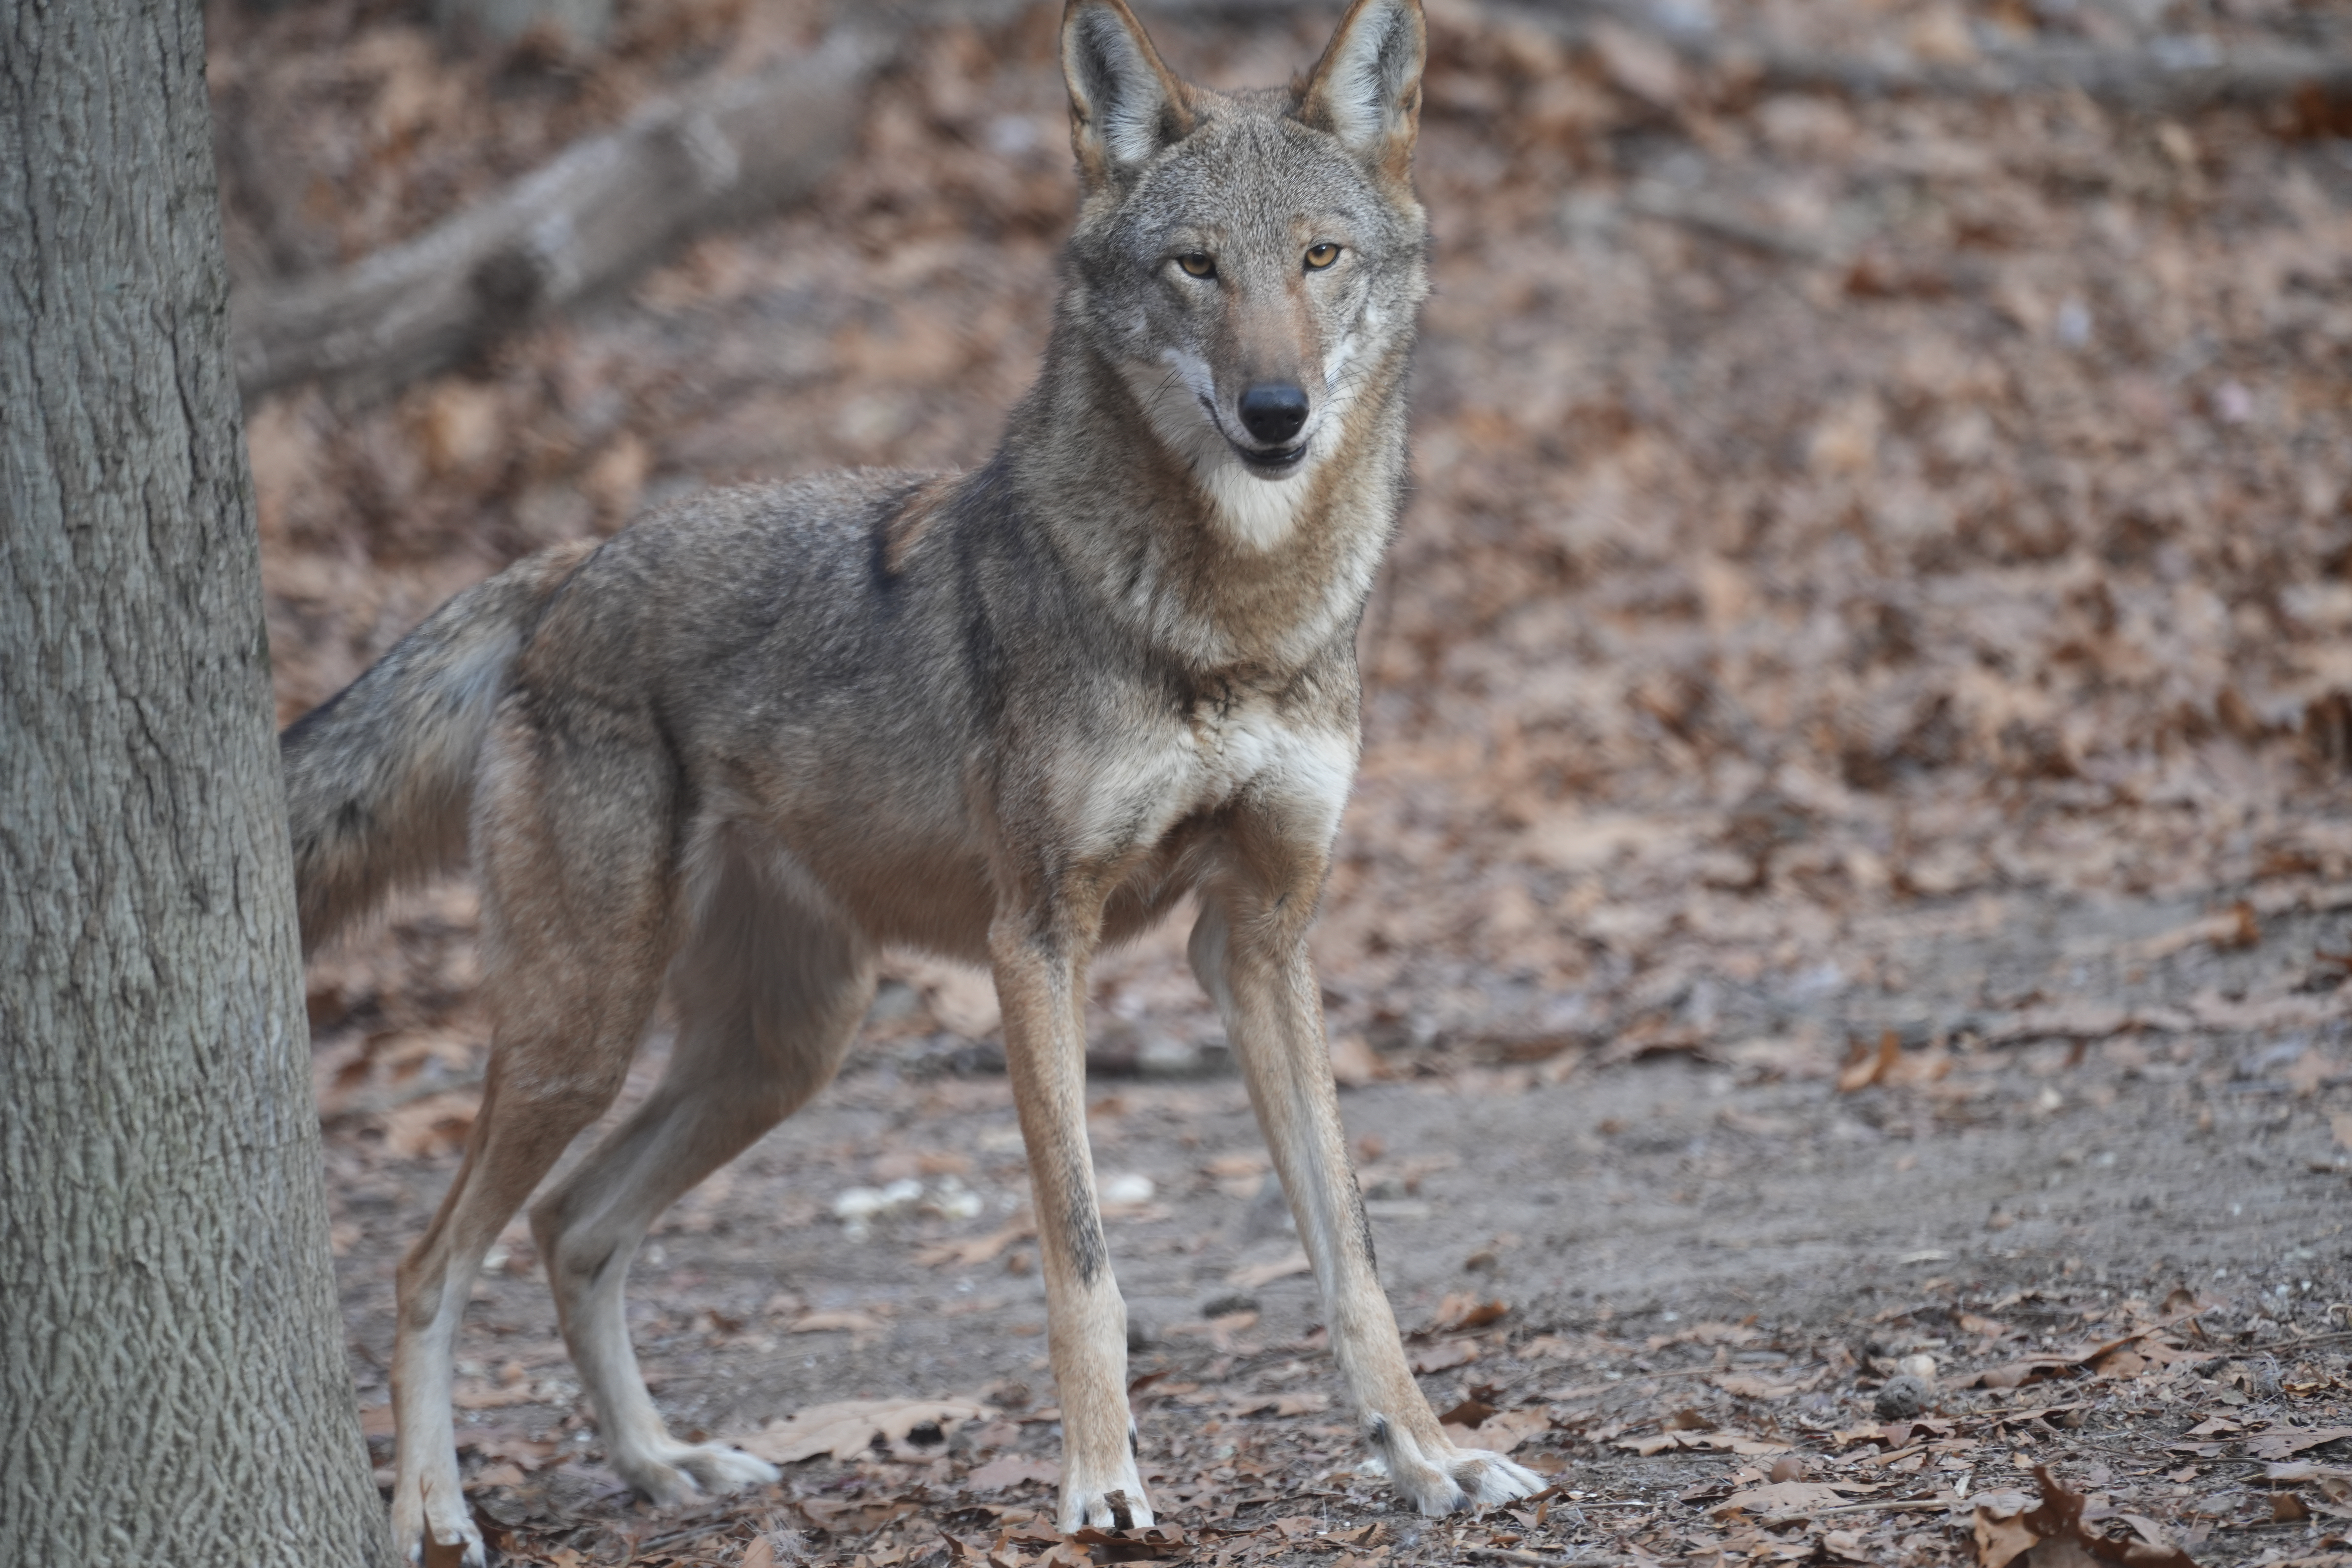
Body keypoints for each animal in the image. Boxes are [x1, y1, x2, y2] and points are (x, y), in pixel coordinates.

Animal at [281, 0, 1544, 1558]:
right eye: (1196, 266)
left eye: (1320, 257)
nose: (1274, 408)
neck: (1231, 618)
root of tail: (562, 573)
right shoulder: (1038, 940)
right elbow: (1083, 1255)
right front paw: (1101, 1487)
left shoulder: (1259, 938)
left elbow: (1354, 1250)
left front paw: (1427, 1455)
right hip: (589, 1032)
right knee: (429, 1258)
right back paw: (436, 1511)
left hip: (782, 1049)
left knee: (571, 1226)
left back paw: (664, 1465)